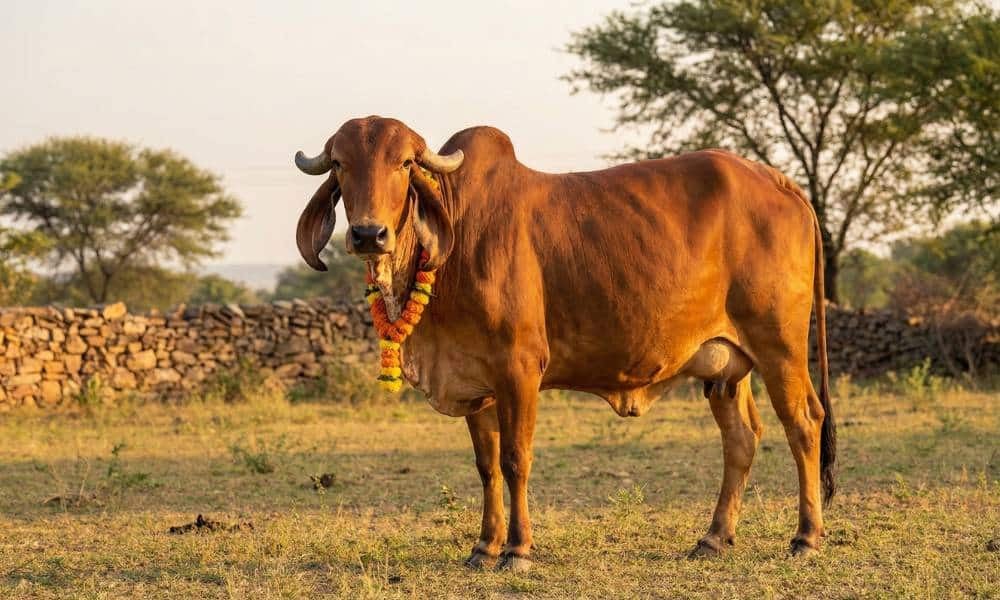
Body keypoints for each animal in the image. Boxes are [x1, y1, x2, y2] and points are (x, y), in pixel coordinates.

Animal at [293, 116, 836, 572]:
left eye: (405, 163)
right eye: (340, 163)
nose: (369, 234)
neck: (458, 239)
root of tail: (783, 184)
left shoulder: (519, 369)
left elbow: (515, 460)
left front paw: (517, 550)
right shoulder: (474, 380)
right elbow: (486, 467)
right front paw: (484, 547)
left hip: (780, 345)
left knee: (804, 423)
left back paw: (807, 537)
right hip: (726, 365)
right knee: (742, 438)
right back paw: (714, 537)